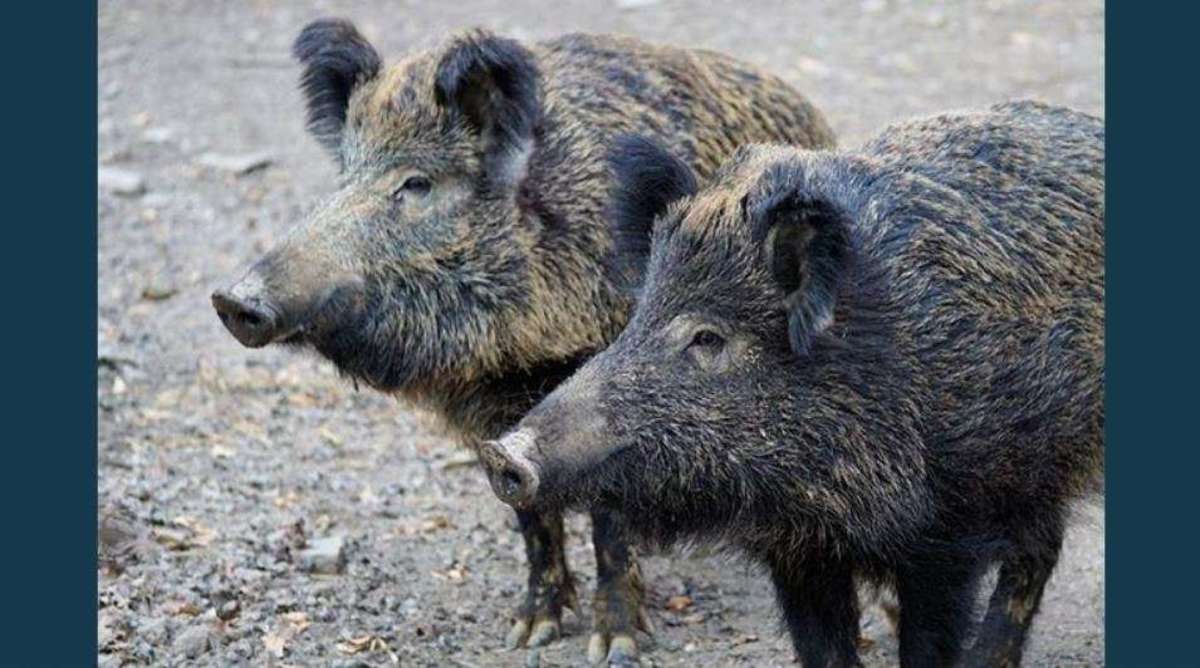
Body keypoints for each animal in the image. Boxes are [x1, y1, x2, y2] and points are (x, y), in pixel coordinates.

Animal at [211, 18, 835, 663]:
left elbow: (608, 522)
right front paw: (529, 632)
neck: (520, 352)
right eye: (345, 176)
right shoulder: (492, 416)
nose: (232, 300)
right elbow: (530, 517)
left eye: (416, 183)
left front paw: (614, 646)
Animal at [480, 101, 1104, 667]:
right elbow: (824, 651)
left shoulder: (946, 537)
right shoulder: (798, 549)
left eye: (707, 338)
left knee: (1037, 552)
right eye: (638, 318)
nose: (500, 453)